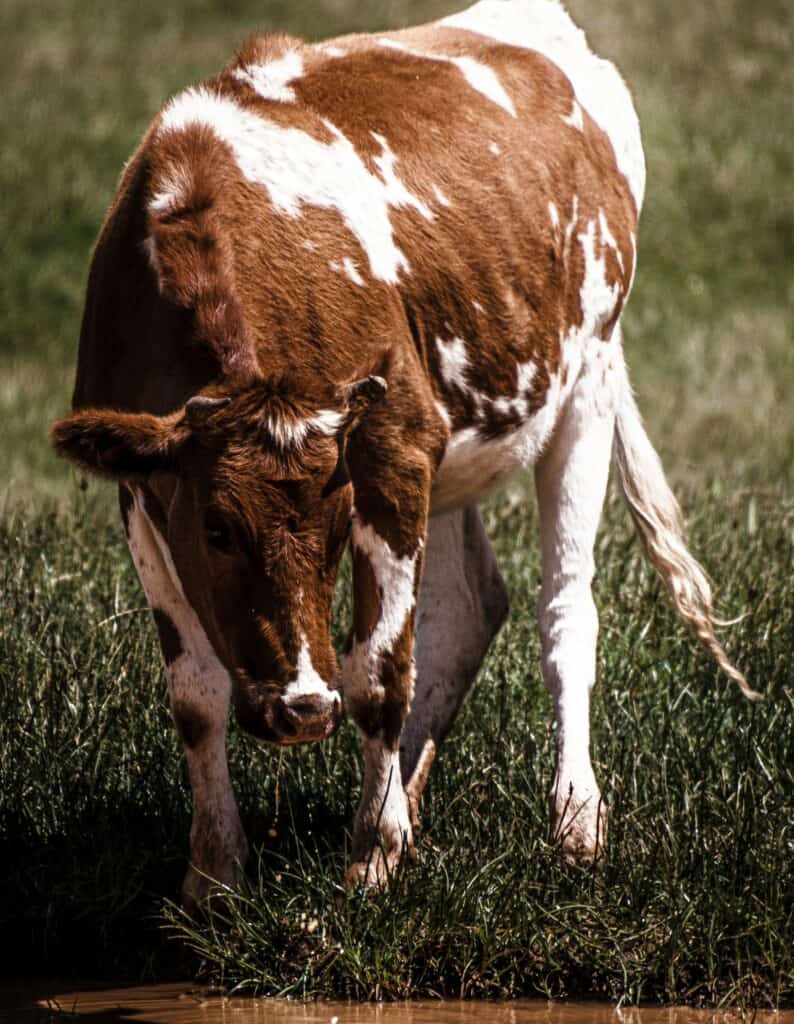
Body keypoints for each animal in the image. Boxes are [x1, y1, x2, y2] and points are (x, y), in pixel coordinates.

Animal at [51, 0, 759, 911]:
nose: (303, 709)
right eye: (215, 529)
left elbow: (381, 674)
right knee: (472, 605)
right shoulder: (145, 492)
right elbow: (196, 696)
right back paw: (411, 798)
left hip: (588, 381)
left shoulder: (389, 452)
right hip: (454, 449)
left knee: (565, 609)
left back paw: (573, 815)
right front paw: (214, 875)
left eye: (336, 525)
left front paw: (373, 859)